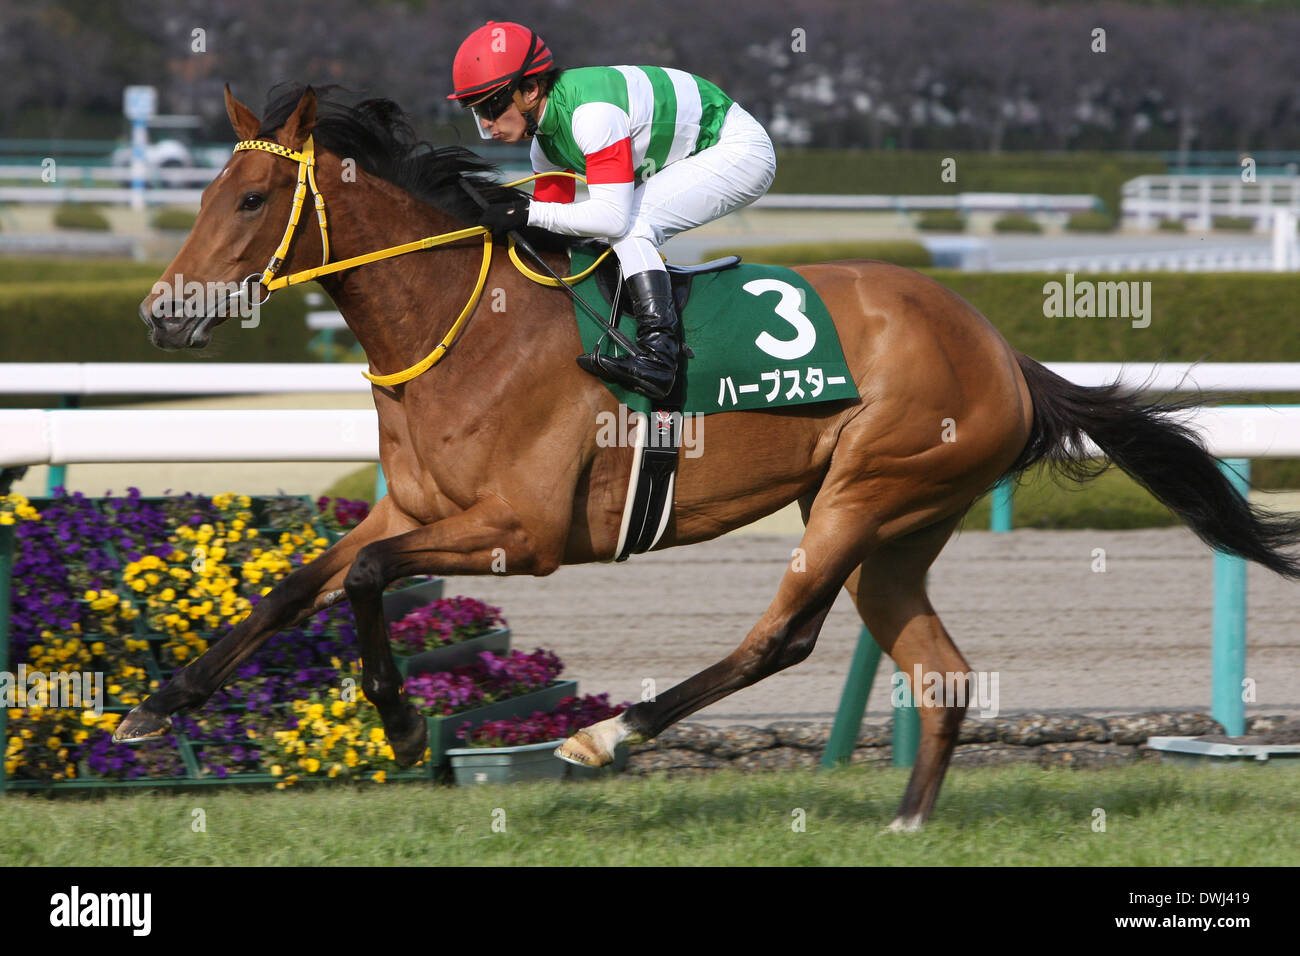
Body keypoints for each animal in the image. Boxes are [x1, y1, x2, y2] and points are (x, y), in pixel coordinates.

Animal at [117, 84, 1300, 830]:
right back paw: (906, 822)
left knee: (783, 634)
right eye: (204, 195)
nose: (163, 317)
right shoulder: (405, 507)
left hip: (867, 490)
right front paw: (156, 703)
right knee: (943, 673)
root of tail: (1002, 348)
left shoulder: (522, 533)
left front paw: (406, 723)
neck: (467, 326)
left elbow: (363, 578)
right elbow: (294, 585)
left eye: (252, 199)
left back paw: (610, 735)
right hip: (898, 526)